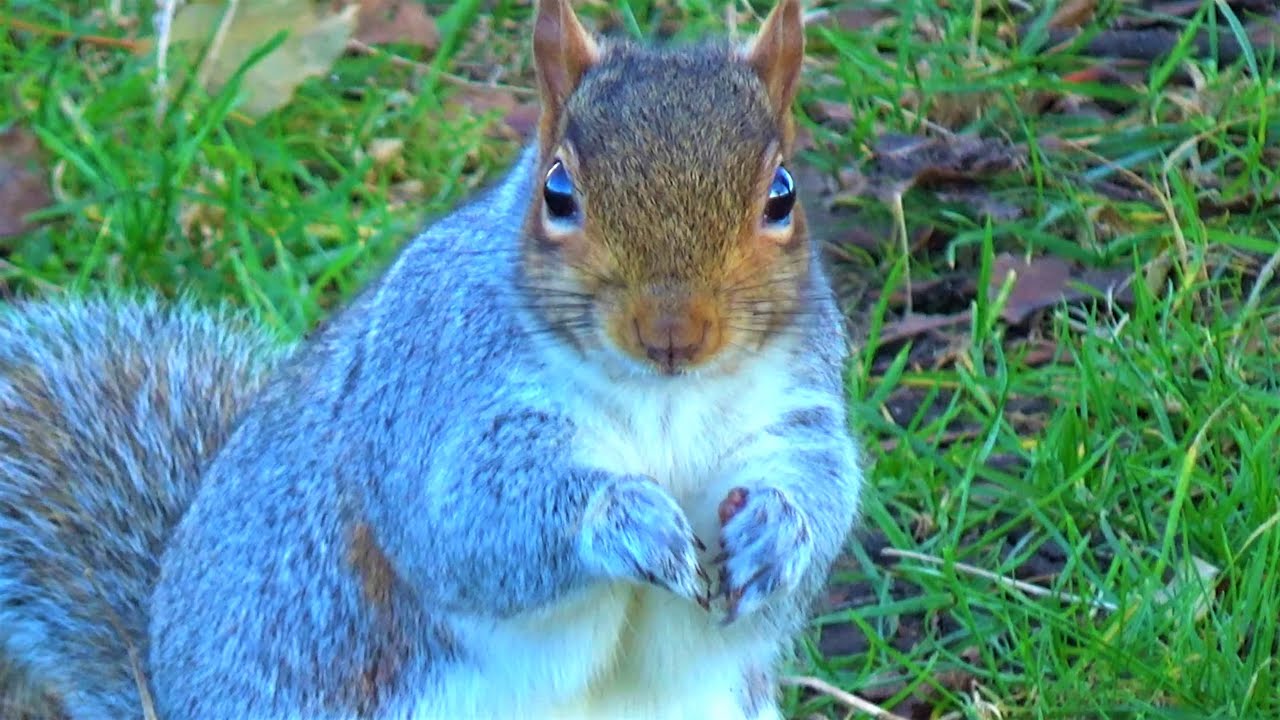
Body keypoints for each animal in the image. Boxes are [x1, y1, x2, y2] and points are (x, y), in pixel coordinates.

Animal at [0, 0, 863, 718]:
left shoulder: (797, 405)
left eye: (782, 195)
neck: (662, 395)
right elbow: (467, 514)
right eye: (557, 194)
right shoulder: (437, 392)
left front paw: (778, 532)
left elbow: (822, 482)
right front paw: (627, 518)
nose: (673, 333)